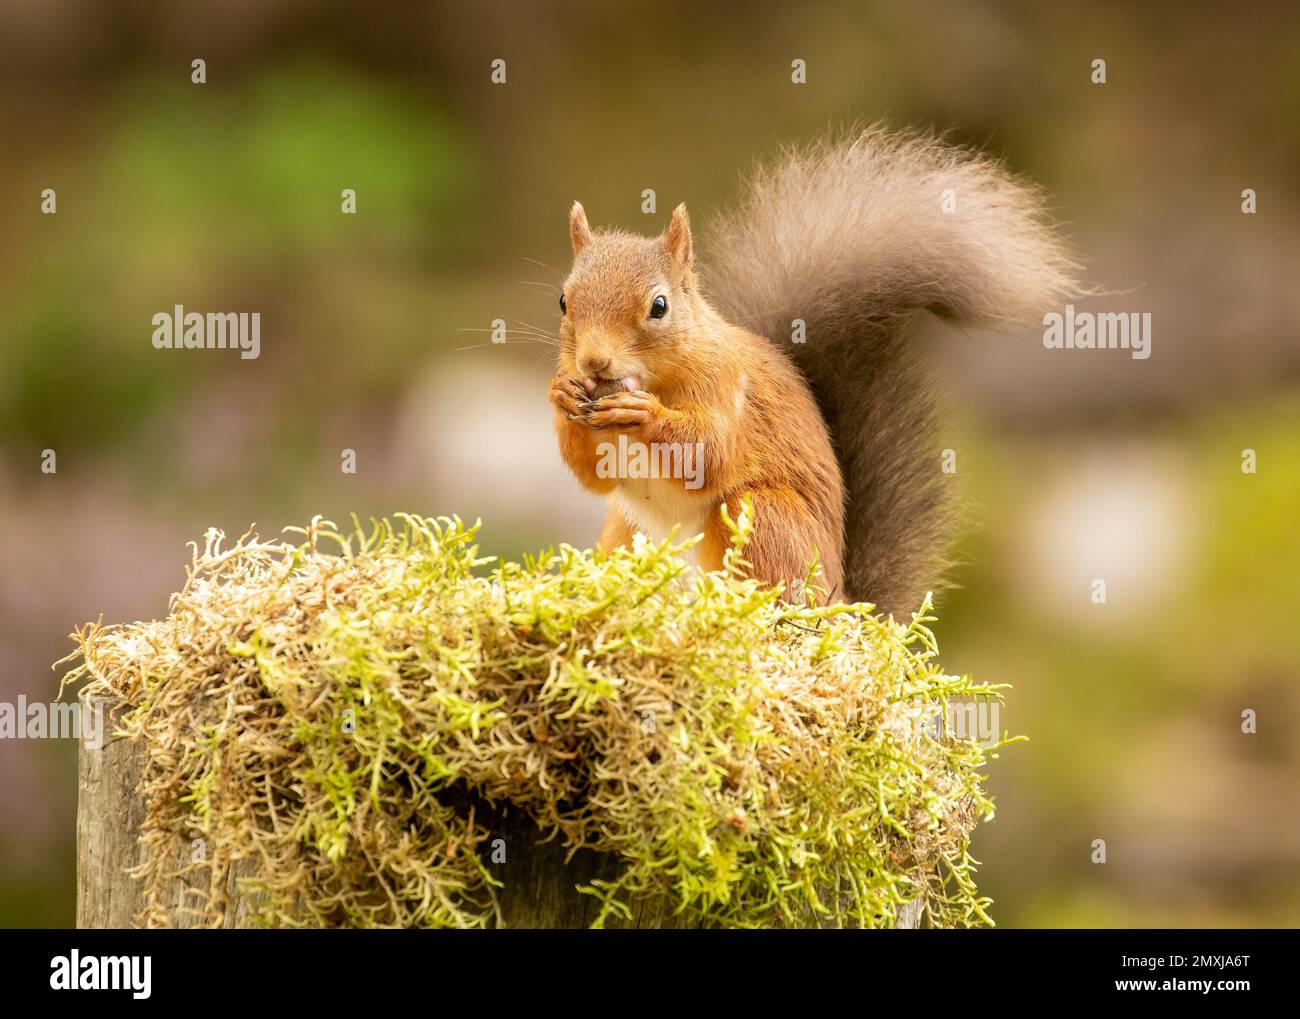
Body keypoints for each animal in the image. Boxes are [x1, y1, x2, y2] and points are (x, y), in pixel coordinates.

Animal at [548, 125, 1075, 617]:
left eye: (659, 306)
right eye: (563, 300)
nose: (593, 361)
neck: (656, 377)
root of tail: (842, 598)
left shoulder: (726, 385)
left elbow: (710, 454)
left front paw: (643, 413)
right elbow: (595, 476)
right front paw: (563, 395)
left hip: (766, 518)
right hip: (626, 531)